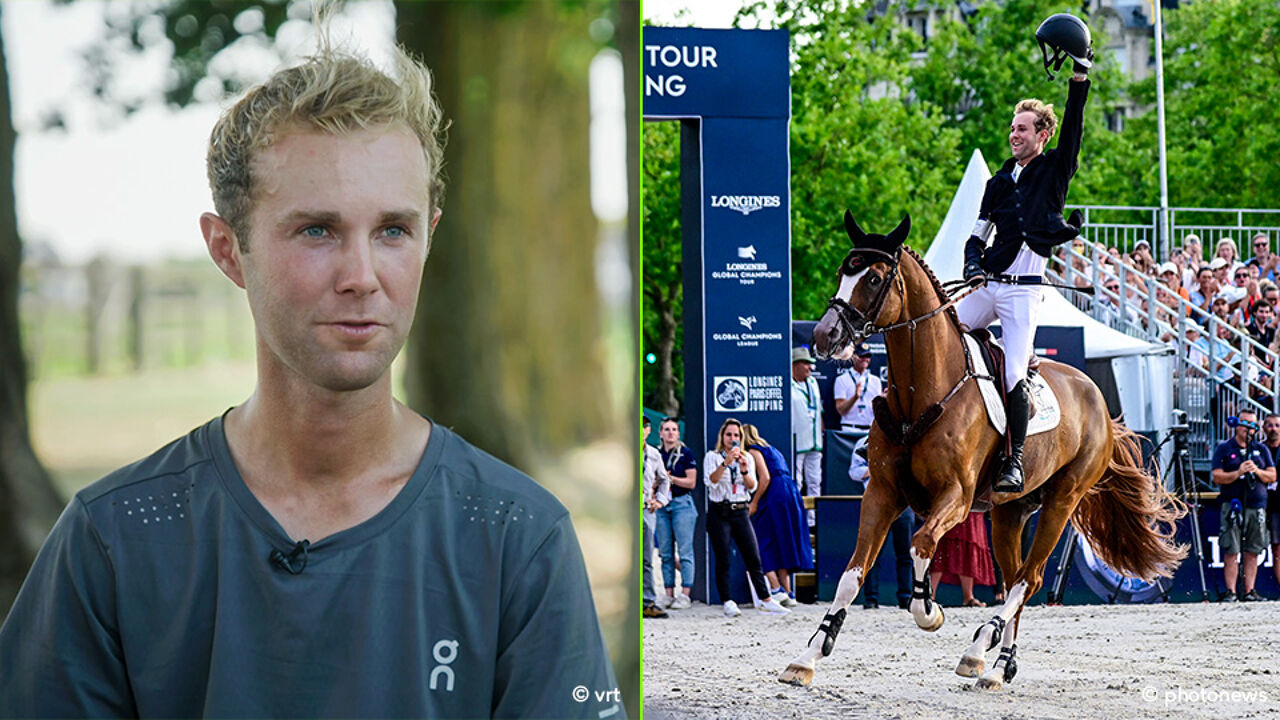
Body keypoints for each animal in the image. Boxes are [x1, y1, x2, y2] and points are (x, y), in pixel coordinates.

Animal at [777, 211, 1186, 691]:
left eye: (874, 278)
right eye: (845, 271)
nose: (825, 336)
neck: (922, 391)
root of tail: (1099, 401)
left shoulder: (954, 497)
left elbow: (921, 544)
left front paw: (929, 611)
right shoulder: (881, 494)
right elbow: (852, 574)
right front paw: (806, 657)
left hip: (1061, 502)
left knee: (1029, 579)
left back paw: (980, 644)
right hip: (1009, 514)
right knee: (1015, 578)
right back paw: (997, 665)